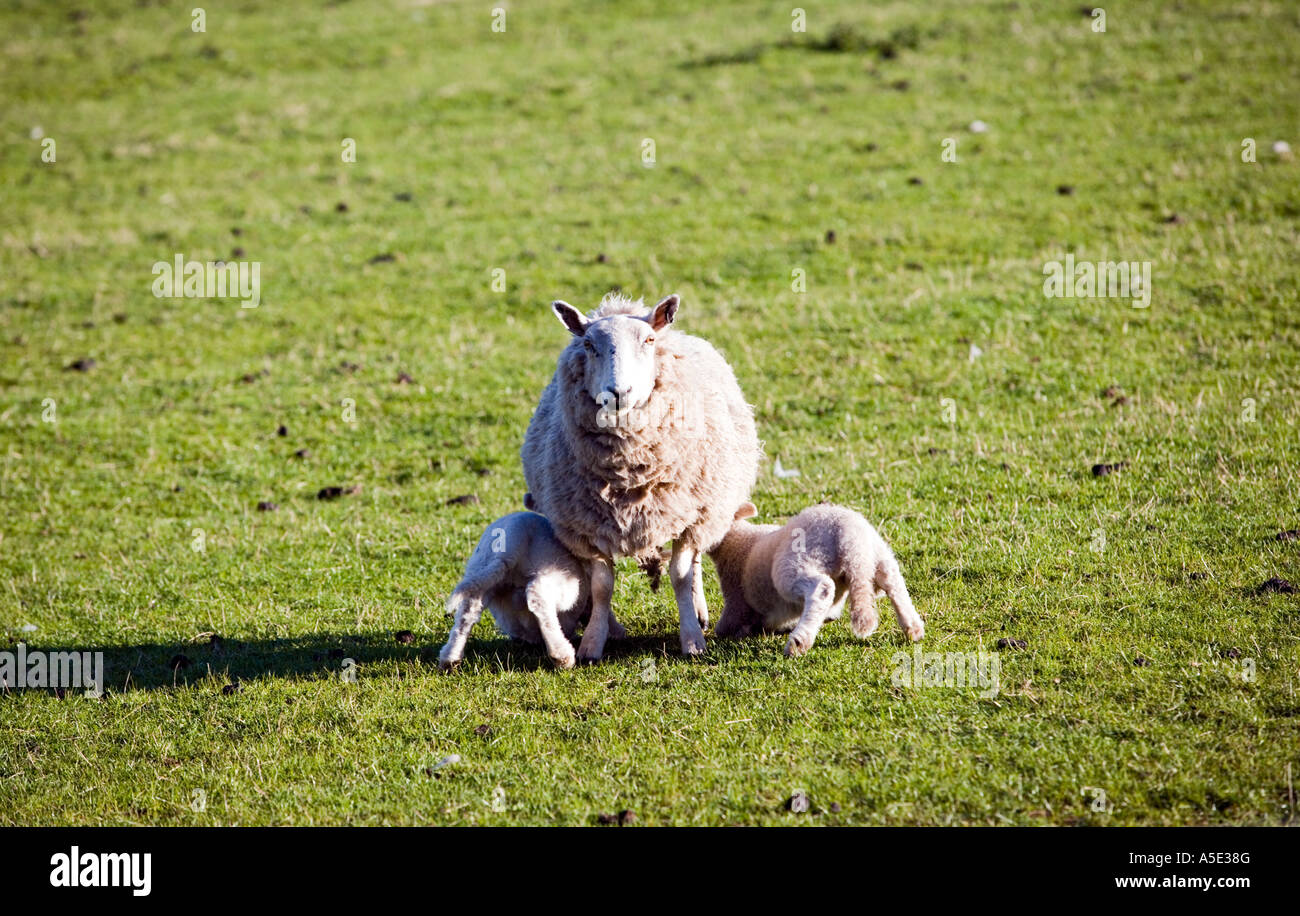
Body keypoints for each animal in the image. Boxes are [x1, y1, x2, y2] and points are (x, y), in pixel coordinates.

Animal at [438, 511, 626, 670]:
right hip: (560, 577)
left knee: (468, 611)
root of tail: (513, 538)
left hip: (480, 567)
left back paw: (450, 658)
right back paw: (561, 654)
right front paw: (617, 632)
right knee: (539, 597)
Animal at [521, 292, 760, 662]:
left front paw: (692, 639)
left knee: (695, 562)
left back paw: (699, 611)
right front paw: (593, 643)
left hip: (706, 508)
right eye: (588, 344)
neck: (627, 475)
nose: (617, 392)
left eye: (648, 340)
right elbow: (602, 586)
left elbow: (681, 575)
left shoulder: (691, 515)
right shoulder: (587, 526)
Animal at [708, 502, 925, 657]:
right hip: (877, 551)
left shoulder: (736, 601)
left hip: (796, 562)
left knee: (822, 588)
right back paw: (913, 627)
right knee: (892, 579)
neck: (739, 540)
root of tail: (849, 532)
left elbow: (724, 627)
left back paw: (798, 643)